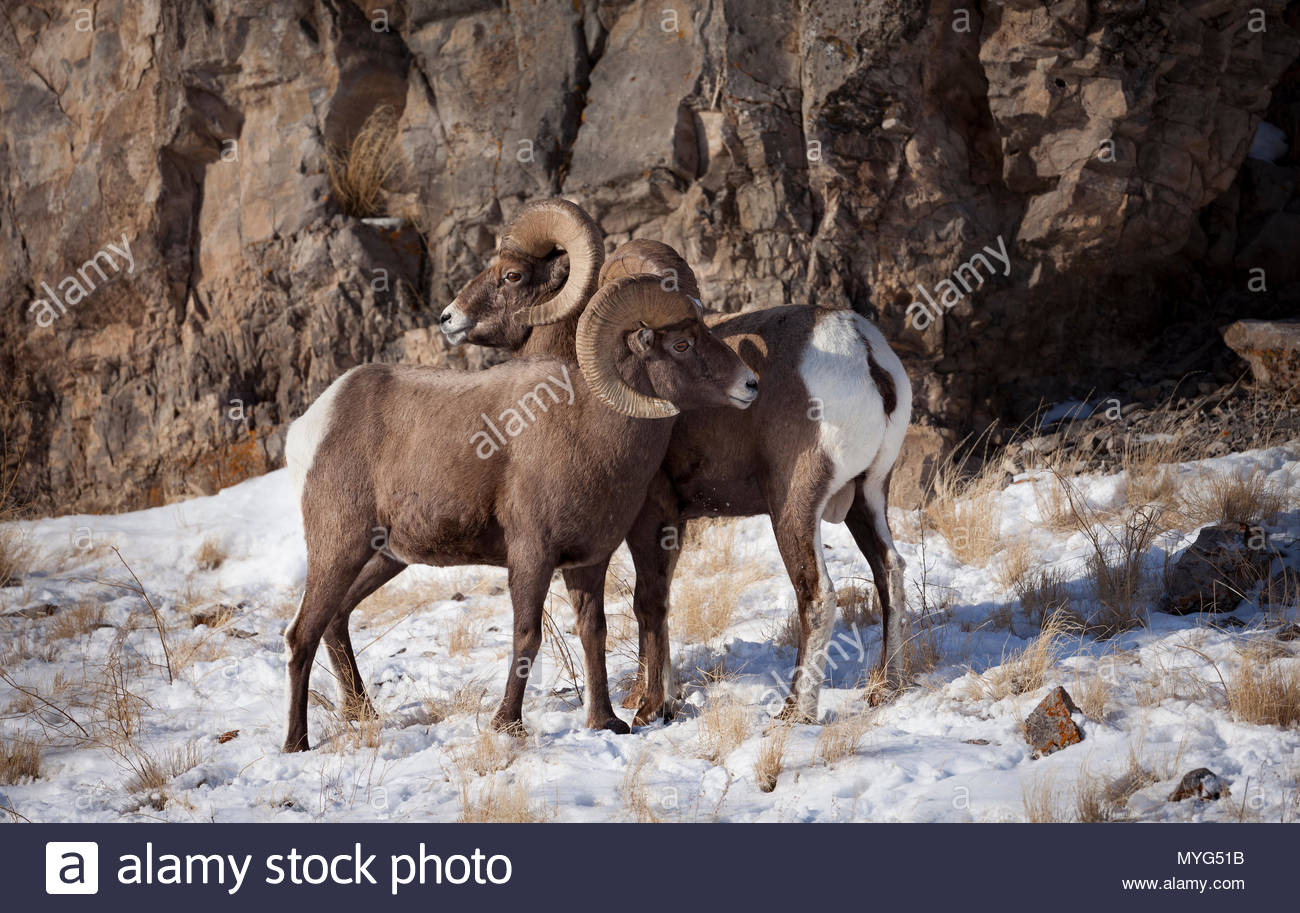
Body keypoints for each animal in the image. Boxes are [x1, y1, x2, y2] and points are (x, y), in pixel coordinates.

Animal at [282, 274, 758, 751]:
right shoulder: (532, 556)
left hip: (384, 558)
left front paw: (606, 722)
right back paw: (296, 743)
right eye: (681, 343)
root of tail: (312, 424)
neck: (590, 428)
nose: (750, 384)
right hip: (338, 549)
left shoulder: (587, 563)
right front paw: (507, 725)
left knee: (335, 621)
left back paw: (362, 714)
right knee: (302, 634)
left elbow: (594, 632)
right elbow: (527, 637)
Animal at [441, 200, 912, 724]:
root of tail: (864, 352)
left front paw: (650, 709)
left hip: (795, 507)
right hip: (867, 497)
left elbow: (648, 602)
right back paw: (886, 688)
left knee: (817, 594)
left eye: (512, 275)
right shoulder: (675, 524)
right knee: (890, 571)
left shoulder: (651, 515)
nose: (448, 318)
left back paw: (795, 711)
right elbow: (662, 600)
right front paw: (660, 698)